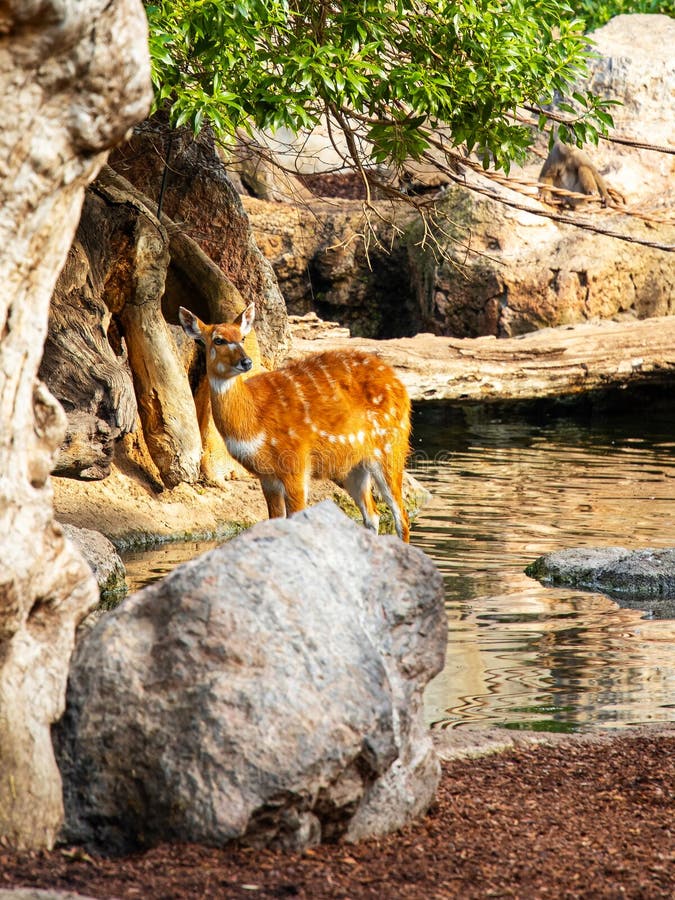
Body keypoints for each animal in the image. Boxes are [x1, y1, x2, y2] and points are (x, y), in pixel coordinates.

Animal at [179, 304, 411, 542]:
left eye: (242, 337)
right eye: (218, 340)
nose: (246, 362)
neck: (254, 421)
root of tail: (399, 383)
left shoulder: (296, 465)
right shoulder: (267, 477)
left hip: (390, 448)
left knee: (401, 515)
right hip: (353, 467)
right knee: (372, 515)